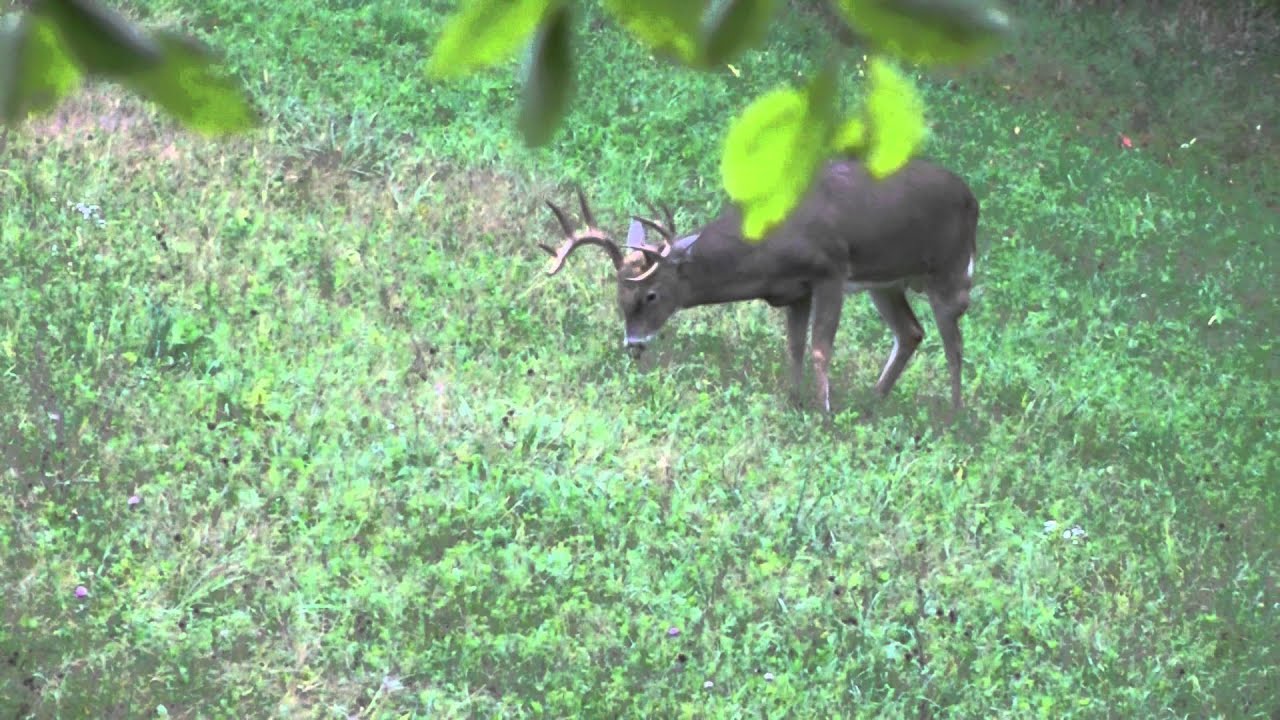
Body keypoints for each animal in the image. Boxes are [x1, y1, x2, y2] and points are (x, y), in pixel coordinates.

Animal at [537, 156, 980, 413]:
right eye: (618, 296)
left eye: (652, 294)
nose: (634, 345)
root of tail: (973, 199)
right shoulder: (796, 290)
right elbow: (795, 347)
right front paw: (795, 401)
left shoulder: (831, 270)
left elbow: (820, 348)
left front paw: (826, 414)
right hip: (886, 282)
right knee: (911, 332)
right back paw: (874, 400)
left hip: (950, 269)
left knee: (954, 342)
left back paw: (954, 416)